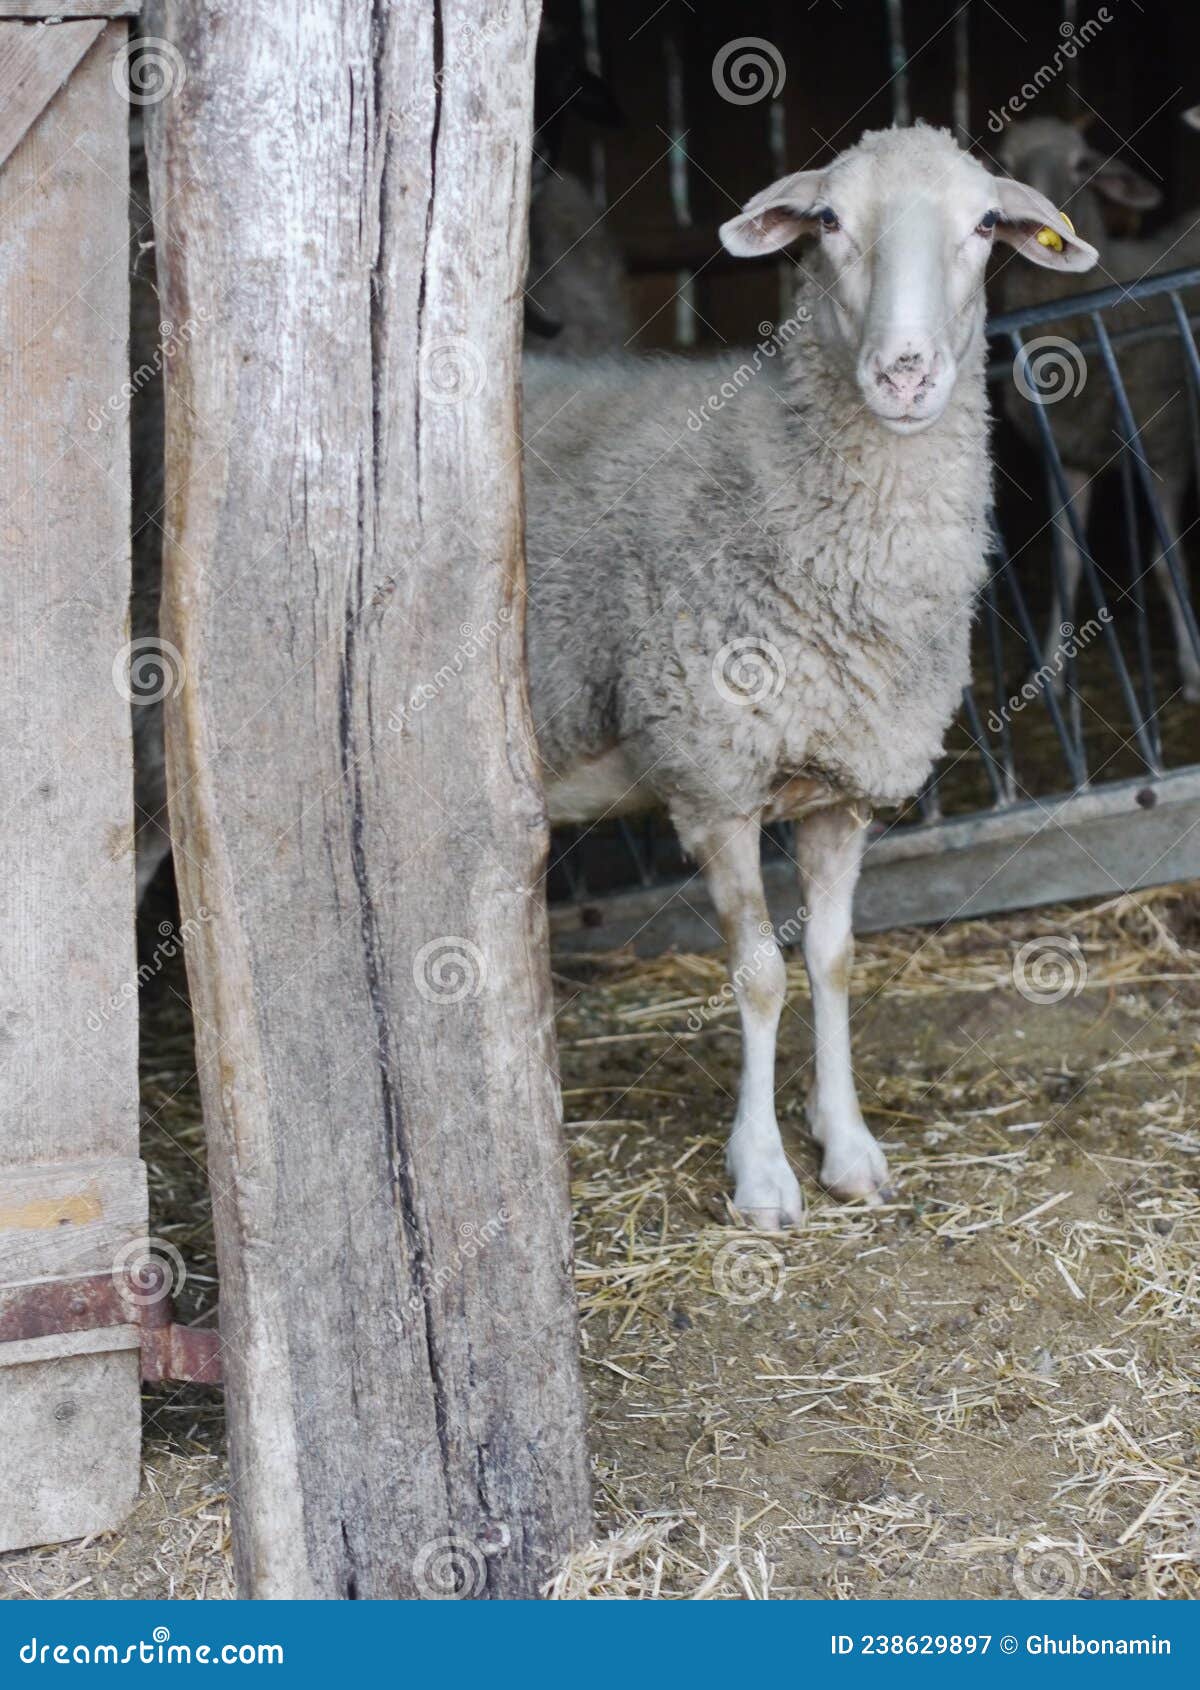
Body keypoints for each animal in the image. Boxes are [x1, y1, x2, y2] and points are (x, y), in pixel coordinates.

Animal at [524, 123, 1096, 1229]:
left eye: (984, 224)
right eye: (829, 220)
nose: (906, 375)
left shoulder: (844, 786)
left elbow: (832, 962)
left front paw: (850, 1145)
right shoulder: (713, 775)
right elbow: (757, 974)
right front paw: (762, 1174)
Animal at [994, 117, 1200, 700]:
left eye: (1081, 164)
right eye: (1005, 165)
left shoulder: (1166, 448)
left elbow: (1167, 561)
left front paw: (1192, 671)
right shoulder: (1066, 457)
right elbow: (1066, 564)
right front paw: (1047, 673)